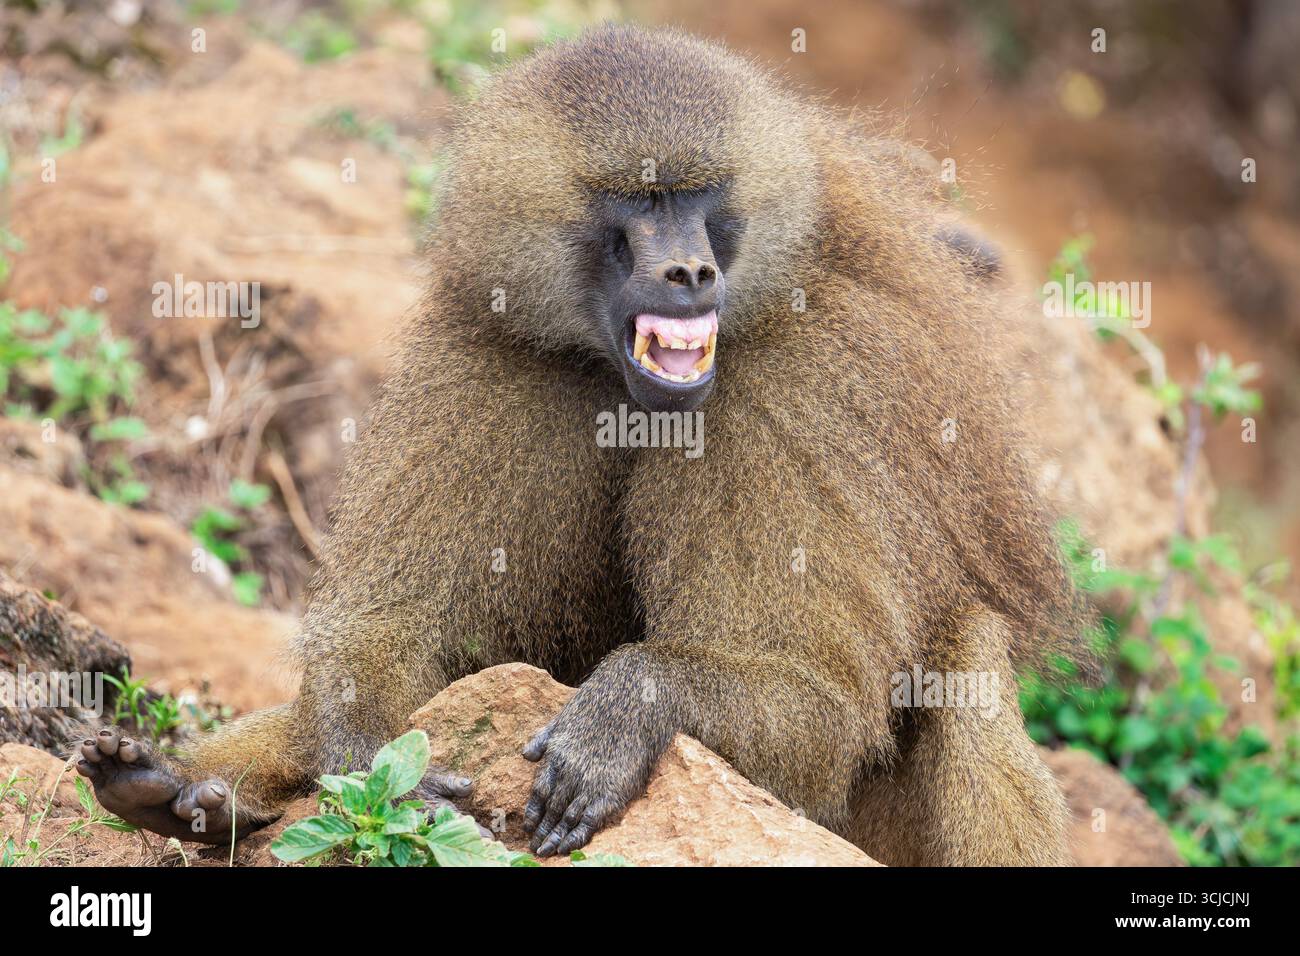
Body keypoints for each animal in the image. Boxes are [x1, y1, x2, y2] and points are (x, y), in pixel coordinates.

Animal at [76, 25, 1087, 866]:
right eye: (639, 201)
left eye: (696, 197)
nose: (690, 272)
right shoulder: (493, 360)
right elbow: (395, 628)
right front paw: (368, 751)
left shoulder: (795, 389)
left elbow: (816, 706)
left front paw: (625, 712)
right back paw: (173, 794)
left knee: (969, 663)